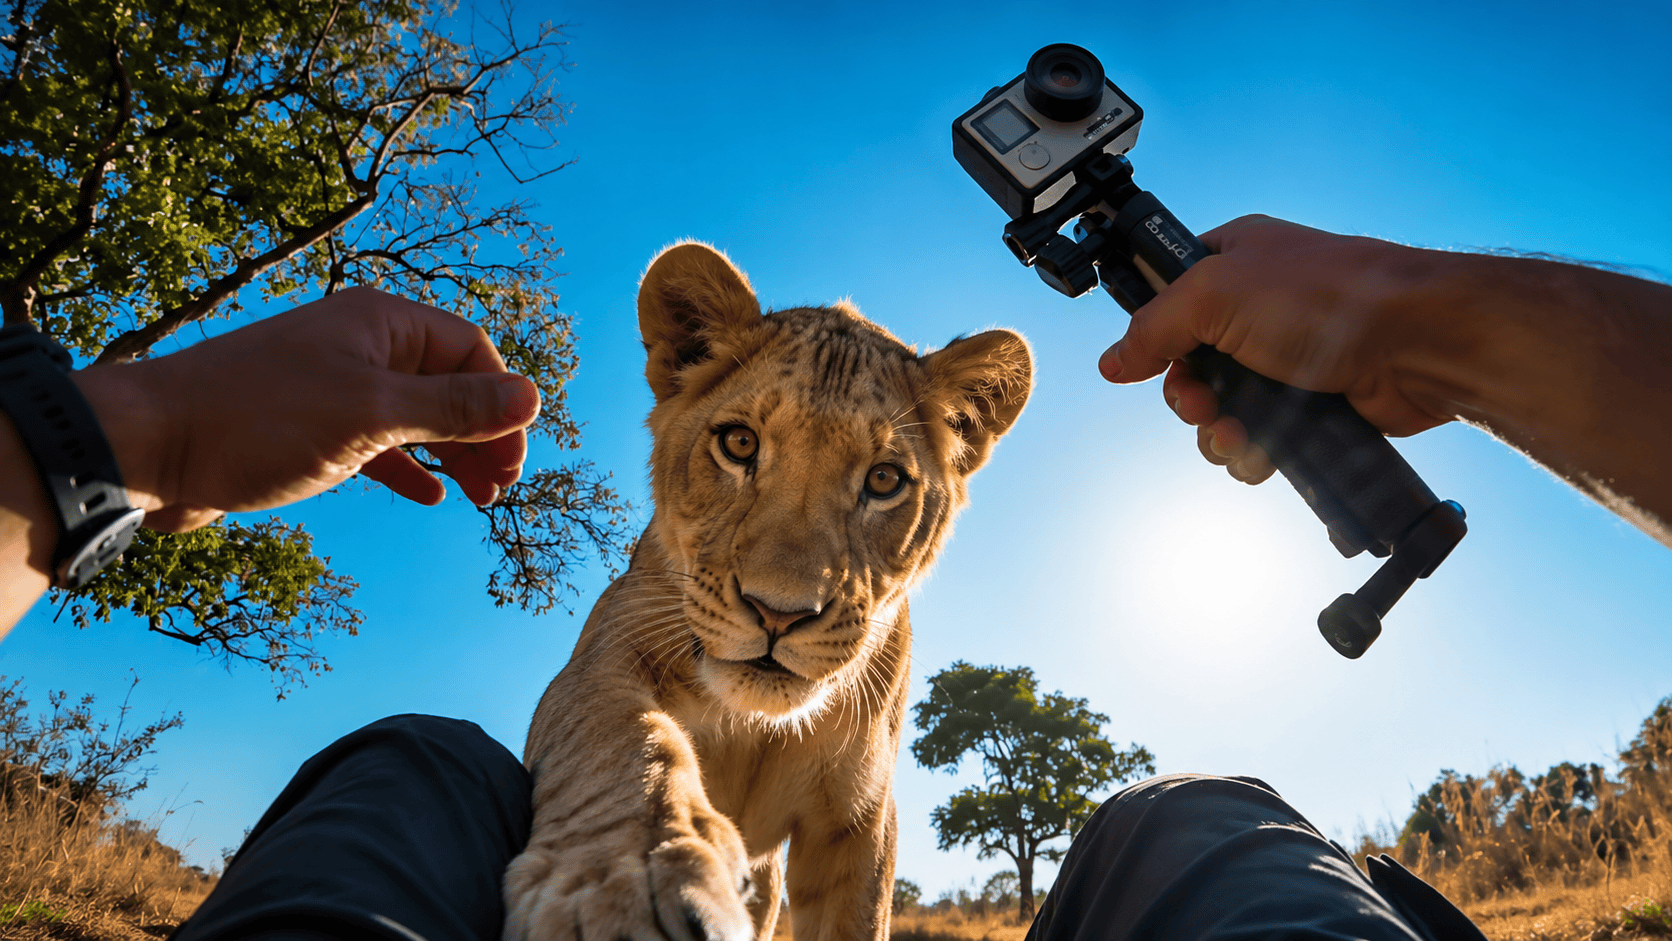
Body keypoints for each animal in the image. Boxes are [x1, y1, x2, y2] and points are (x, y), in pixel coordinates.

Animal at [503, 243, 1032, 941]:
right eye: (739, 443)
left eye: (884, 480)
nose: (778, 614)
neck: (757, 727)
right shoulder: (600, 666)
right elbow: (623, 741)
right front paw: (616, 883)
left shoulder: (859, 816)